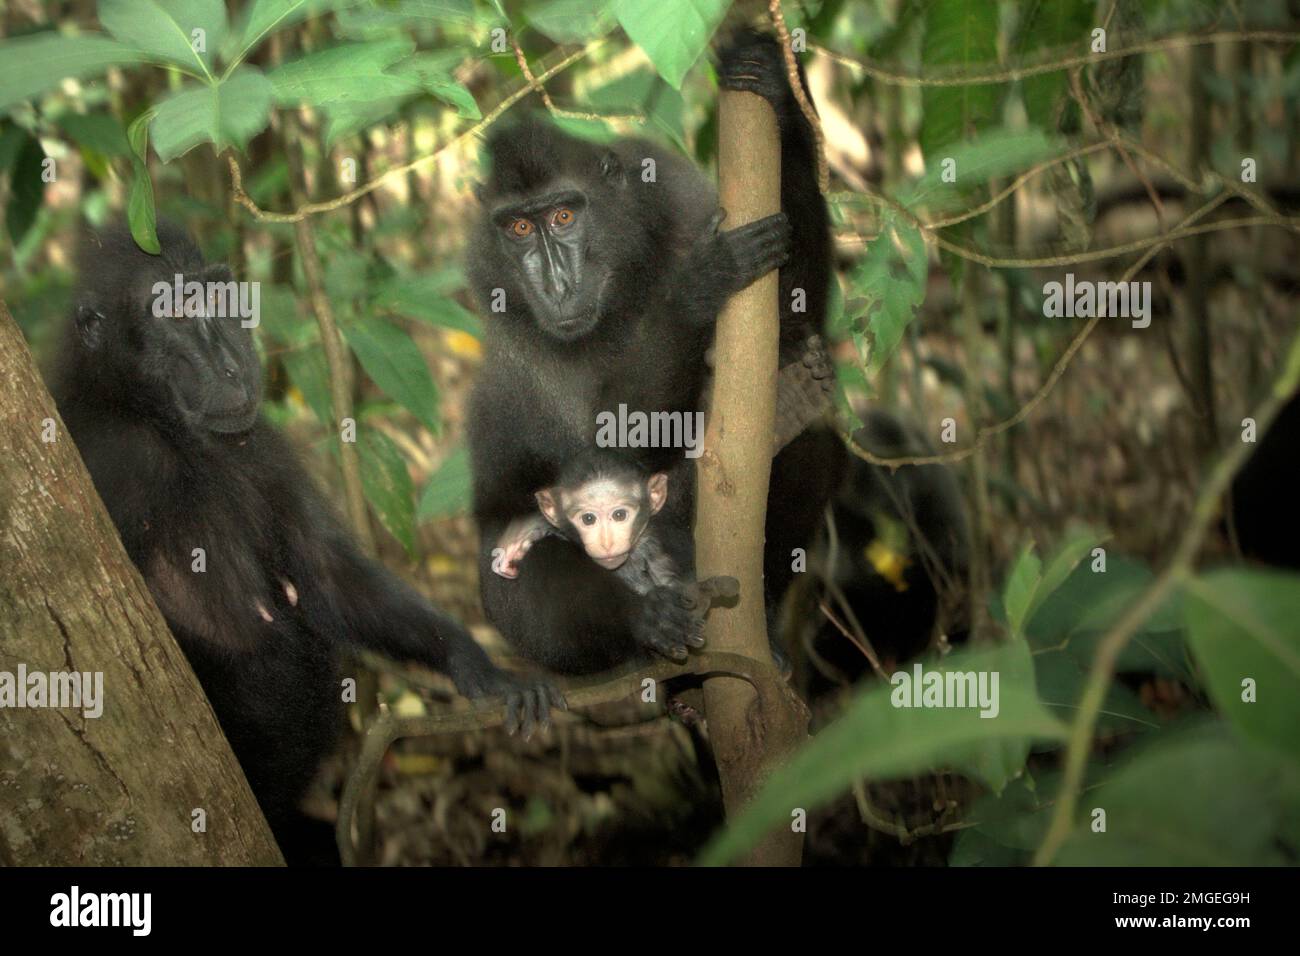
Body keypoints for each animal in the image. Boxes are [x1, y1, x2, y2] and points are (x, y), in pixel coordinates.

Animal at [50, 222, 563, 863]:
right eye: (176, 311)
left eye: (219, 298)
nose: (234, 363)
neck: (152, 417)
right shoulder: (112, 463)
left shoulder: (259, 447)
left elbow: (324, 573)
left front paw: (474, 663)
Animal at [465, 30, 847, 676]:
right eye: (517, 228)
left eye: (563, 215)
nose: (555, 285)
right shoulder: (514, 324)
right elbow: (605, 446)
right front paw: (699, 285)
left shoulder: (675, 193)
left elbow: (790, 327)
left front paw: (777, 90)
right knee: (515, 563)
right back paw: (646, 623)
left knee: (808, 437)